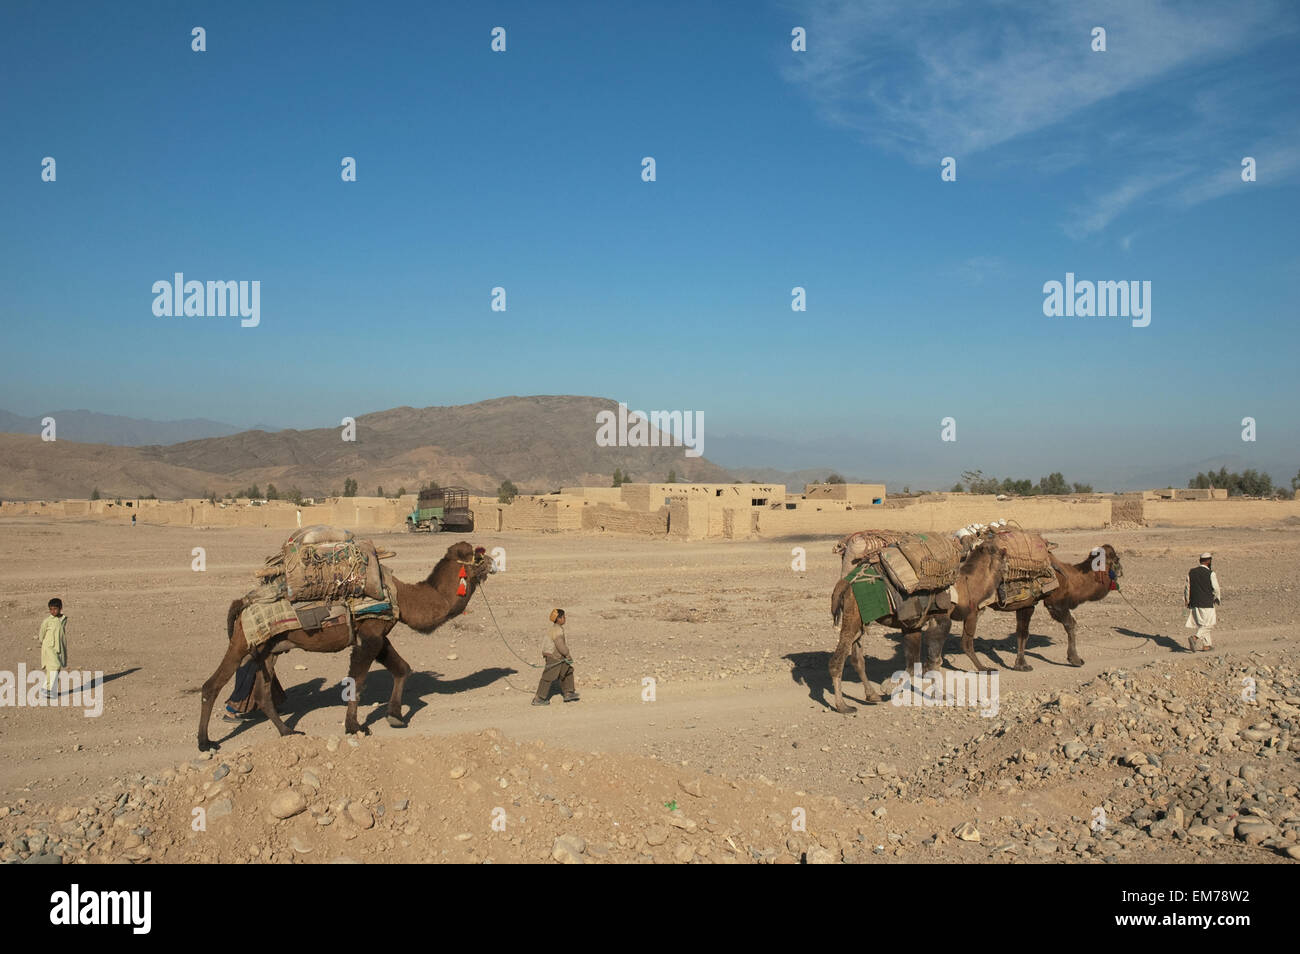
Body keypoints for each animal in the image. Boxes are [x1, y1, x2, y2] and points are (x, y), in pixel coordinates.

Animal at [197, 540, 494, 751]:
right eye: (477, 555)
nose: (493, 562)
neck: (402, 597)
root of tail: (242, 602)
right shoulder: (370, 636)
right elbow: (358, 681)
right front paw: (355, 727)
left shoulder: (379, 635)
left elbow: (402, 669)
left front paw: (395, 716)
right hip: (242, 641)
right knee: (212, 685)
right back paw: (205, 742)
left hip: (269, 648)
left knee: (262, 692)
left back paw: (288, 732)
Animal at [826, 537, 1008, 714]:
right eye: (999, 553)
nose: (1007, 561)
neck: (966, 587)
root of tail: (843, 585)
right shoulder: (943, 619)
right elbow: (937, 659)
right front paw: (941, 694)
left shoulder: (912, 625)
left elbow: (913, 664)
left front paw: (890, 685)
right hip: (853, 616)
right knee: (837, 661)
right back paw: (843, 706)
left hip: (860, 621)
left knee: (857, 658)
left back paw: (872, 695)